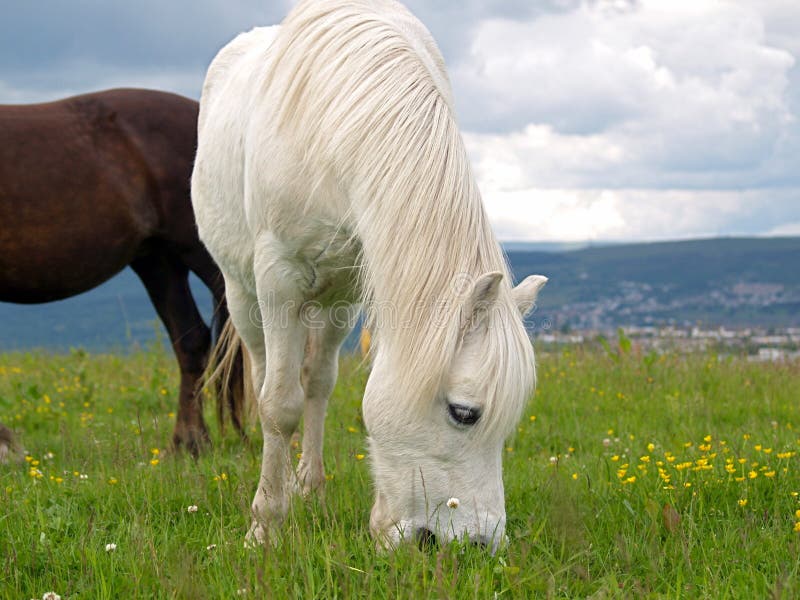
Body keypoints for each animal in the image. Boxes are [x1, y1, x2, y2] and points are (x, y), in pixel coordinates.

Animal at [192, 0, 547, 551]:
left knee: (317, 382)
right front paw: (264, 526)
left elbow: (321, 391)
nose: (481, 546)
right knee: (266, 373)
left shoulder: (359, 286)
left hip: (332, 301)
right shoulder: (277, 278)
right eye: (464, 412)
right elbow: (279, 406)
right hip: (244, 292)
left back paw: (310, 489)